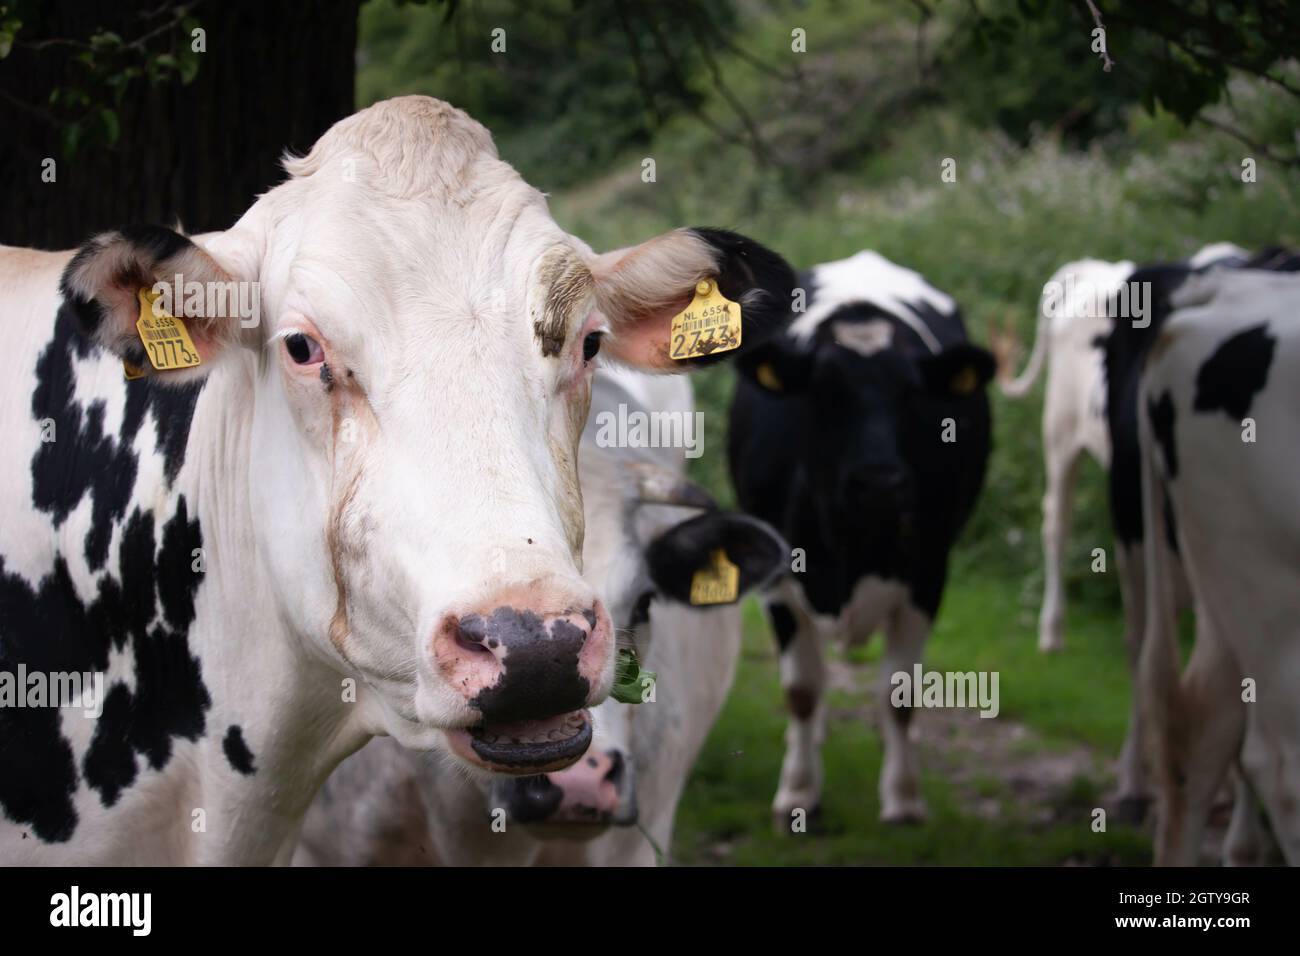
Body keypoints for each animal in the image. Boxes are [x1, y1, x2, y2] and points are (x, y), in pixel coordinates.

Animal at [727, 250, 995, 825]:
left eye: (913, 394)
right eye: (825, 394)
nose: (881, 482)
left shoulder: (927, 576)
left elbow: (899, 696)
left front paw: (903, 796)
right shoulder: (777, 579)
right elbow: (802, 690)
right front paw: (798, 792)